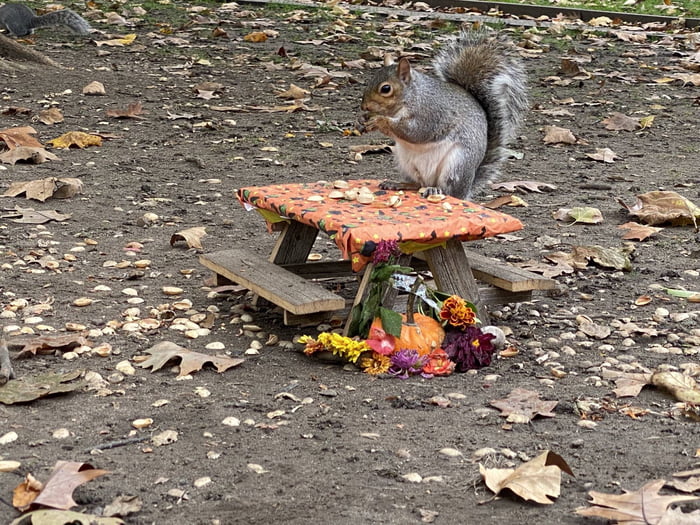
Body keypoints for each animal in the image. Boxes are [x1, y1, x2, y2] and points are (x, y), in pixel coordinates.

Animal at [360, 31, 528, 200]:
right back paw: (400, 184)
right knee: (418, 184)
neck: (412, 96)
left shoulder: (431, 113)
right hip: (405, 163)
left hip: (457, 165)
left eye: (386, 89)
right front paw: (362, 120)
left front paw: (380, 121)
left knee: (449, 191)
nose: (364, 106)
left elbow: (415, 132)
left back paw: (436, 191)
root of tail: (466, 191)